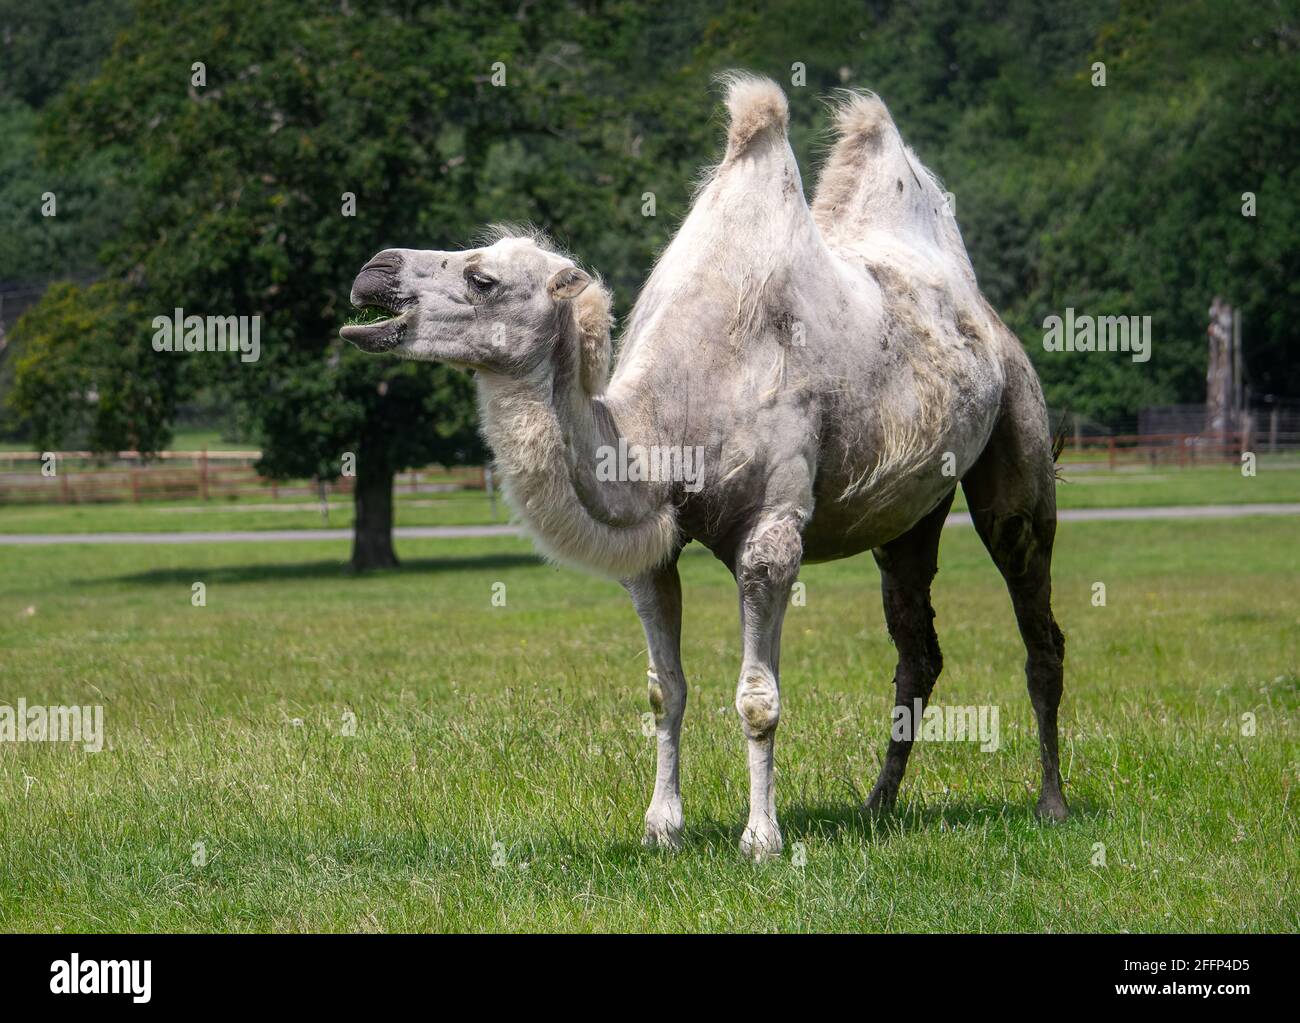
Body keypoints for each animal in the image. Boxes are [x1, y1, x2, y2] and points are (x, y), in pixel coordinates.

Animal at [340, 74, 1067, 860]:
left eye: (482, 279)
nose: (373, 270)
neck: (665, 428)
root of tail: (984, 317)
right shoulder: (653, 553)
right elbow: (666, 688)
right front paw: (662, 826)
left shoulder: (773, 536)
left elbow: (758, 698)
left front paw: (762, 838)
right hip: (909, 515)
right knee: (917, 649)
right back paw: (877, 804)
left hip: (1019, 443)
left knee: (1036, 620)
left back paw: (1052, 803)